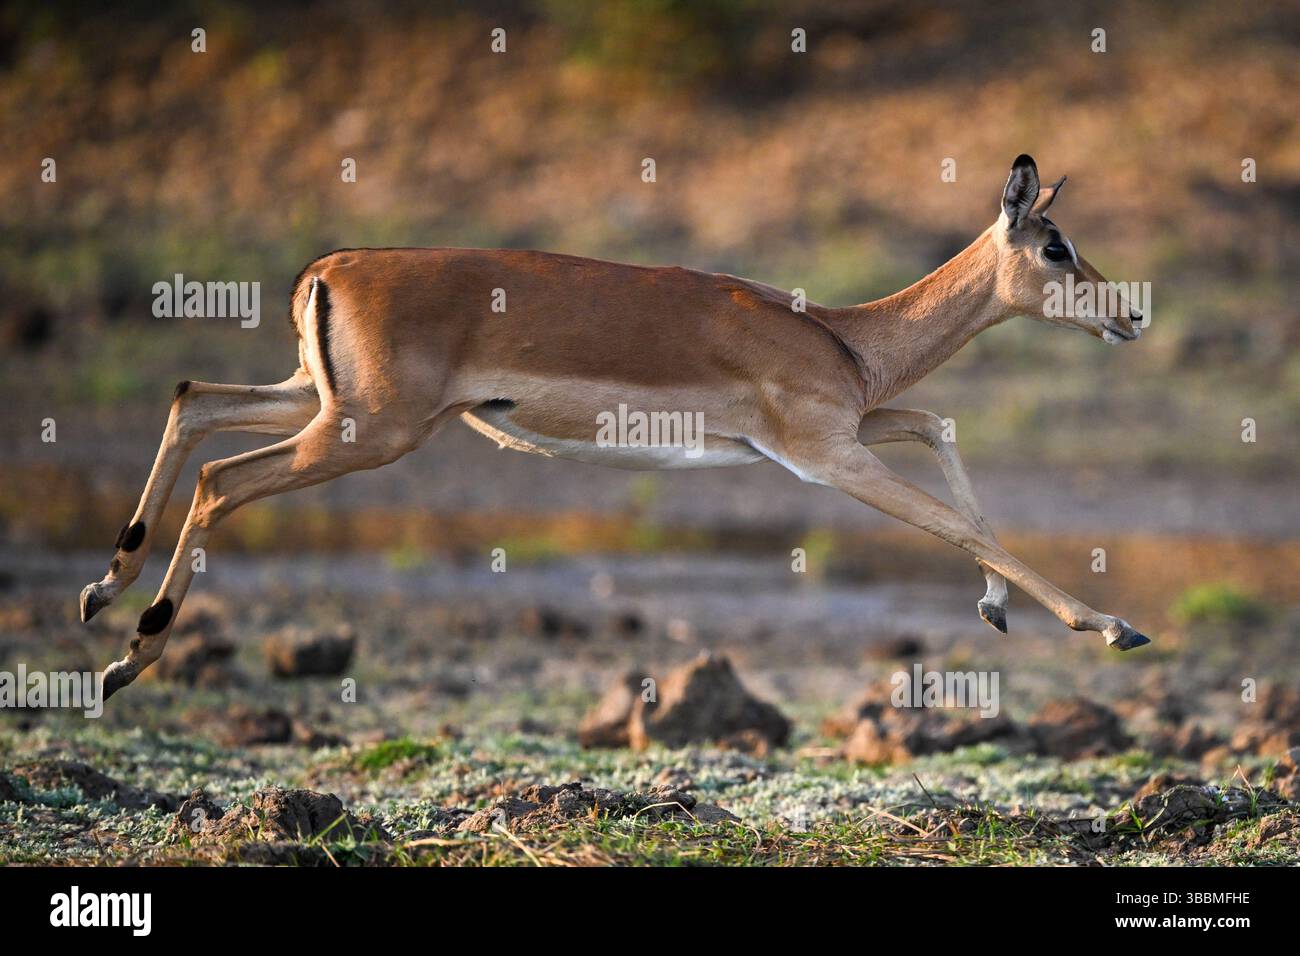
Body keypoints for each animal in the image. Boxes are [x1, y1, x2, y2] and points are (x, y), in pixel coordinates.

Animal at [83, 154, 1150, 700]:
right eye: (1056, 245)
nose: (1132, 315)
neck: (847, 339)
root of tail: (328, 268)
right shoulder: (824, 455)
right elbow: (954, 513)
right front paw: (1112, 624)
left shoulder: (844, 430)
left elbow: (938, 424)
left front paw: (996, 609)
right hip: (370, 431)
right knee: (224, 480)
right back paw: (130, 654)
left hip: (325, 403)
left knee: (193, 400)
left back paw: (105, 590)